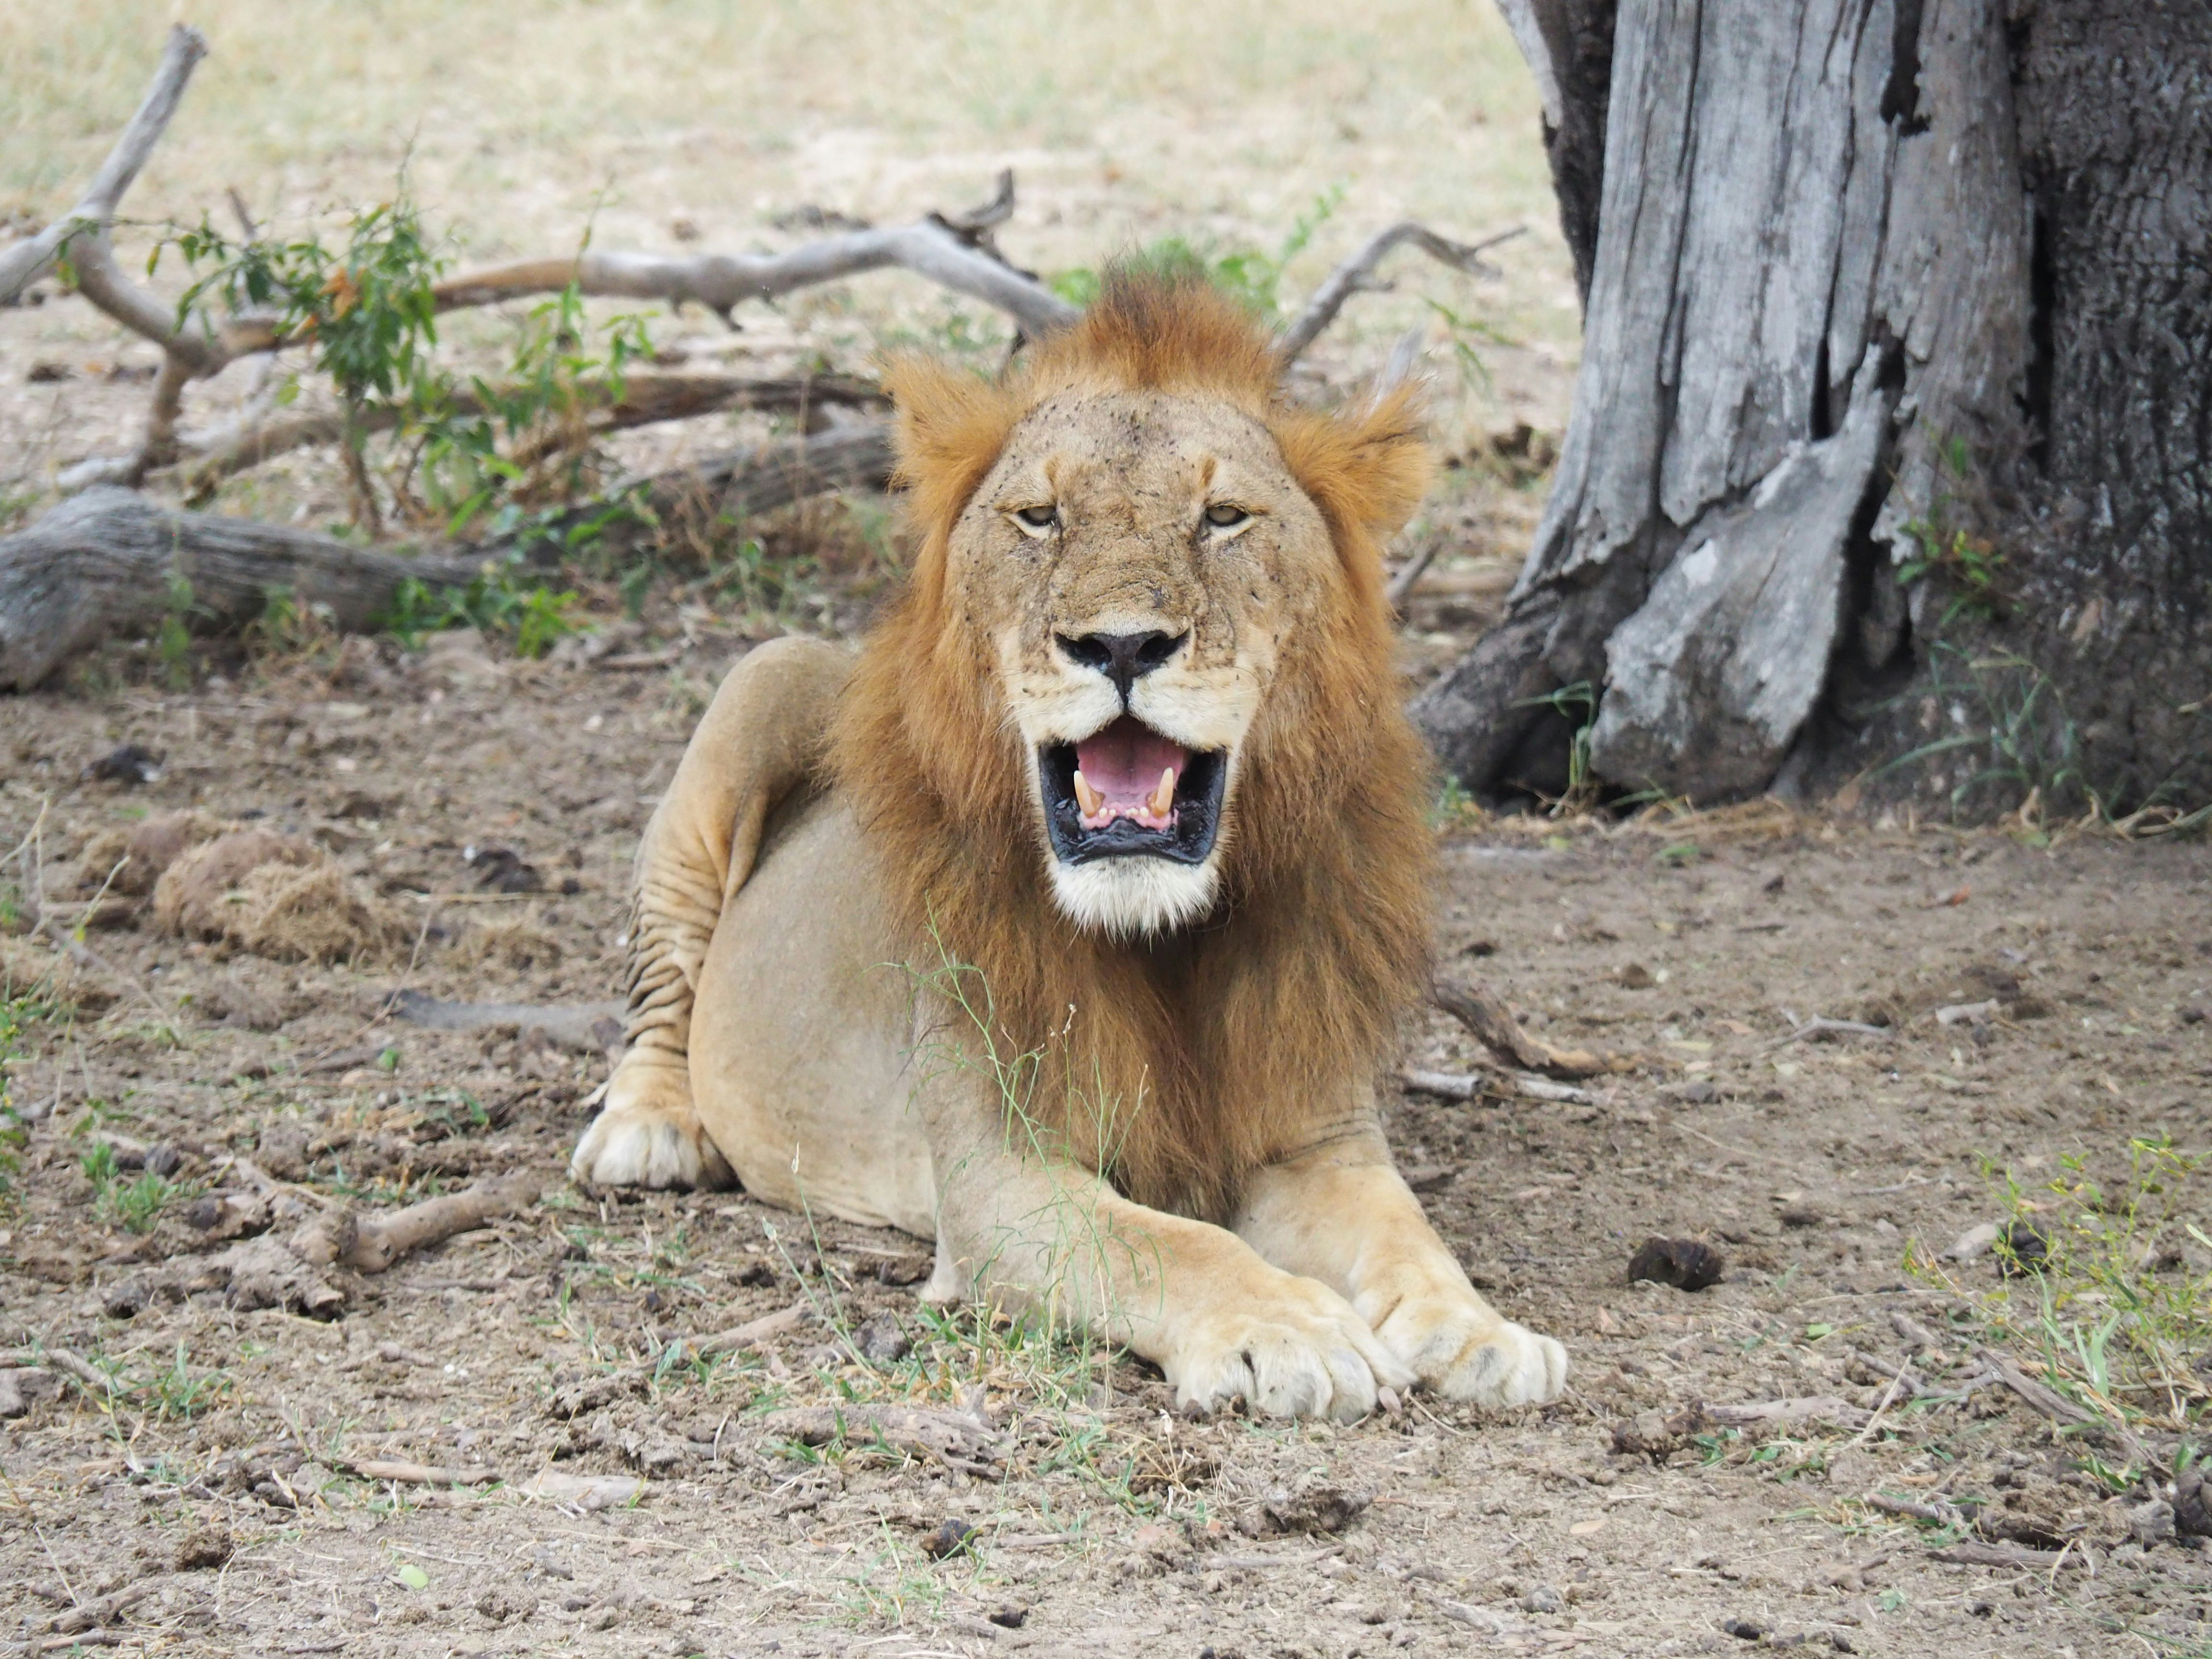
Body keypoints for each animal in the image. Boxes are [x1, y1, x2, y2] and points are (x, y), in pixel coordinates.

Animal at [570, 269, 1567, 1420]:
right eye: (1039, 517)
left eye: (1223, 517)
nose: (1122, 644)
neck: (1164, 941)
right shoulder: (998, 1176)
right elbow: (1168, 1247)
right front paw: (1291, 1330)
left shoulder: (1316, 1138)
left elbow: (1409, 1233)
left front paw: (1482, 1332)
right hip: (761, 681)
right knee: (663, 980)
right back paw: (649, 1131)